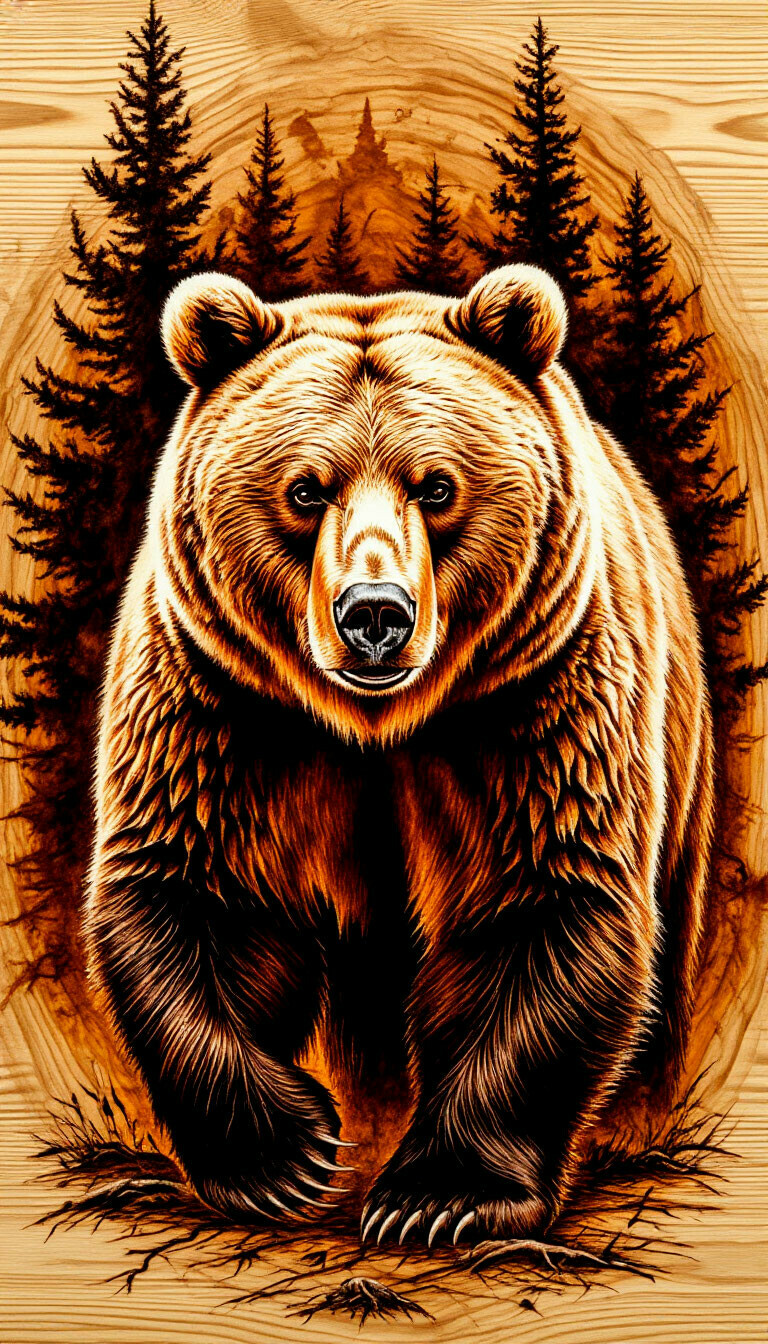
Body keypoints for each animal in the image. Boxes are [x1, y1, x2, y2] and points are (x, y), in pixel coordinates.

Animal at [86, 263, 713, 1247]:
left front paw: (437, 1195)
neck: (376, 727)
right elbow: (191, 889)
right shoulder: (222, 699)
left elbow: (544, 903)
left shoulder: (533, 698)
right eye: (307, 489)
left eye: (437, 485)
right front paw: (288, 1159)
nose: (374, 613)